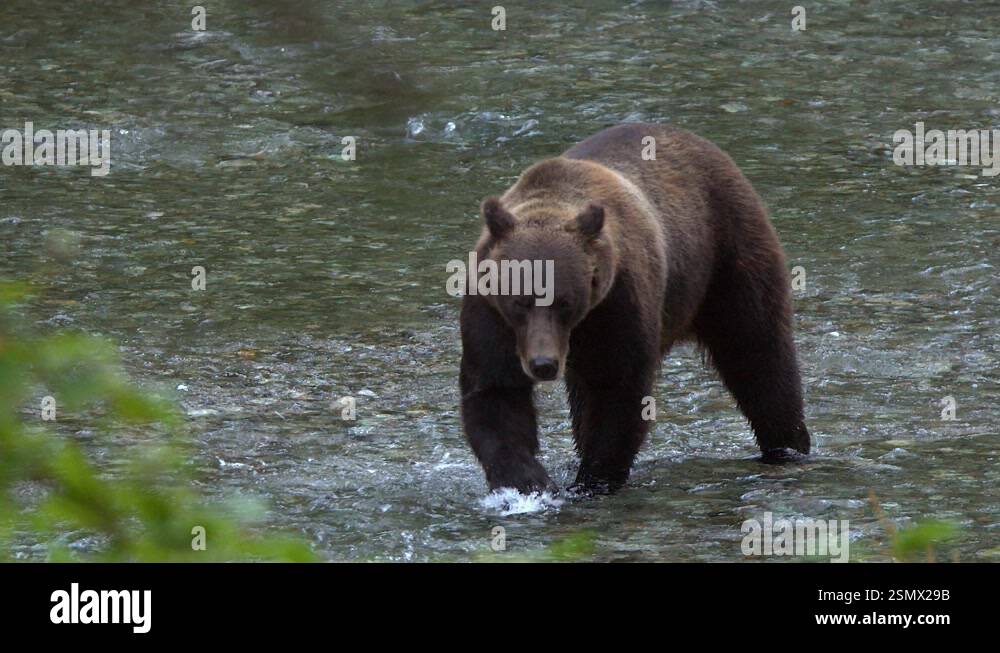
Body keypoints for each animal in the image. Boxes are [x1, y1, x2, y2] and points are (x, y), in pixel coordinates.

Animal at [459, 123, 810, 494]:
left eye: (565, 302)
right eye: (520, 301)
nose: (544, 364)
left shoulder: (618, 304)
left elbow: (620, 391)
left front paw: (594, 479)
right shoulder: (491, 314)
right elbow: (496, 390)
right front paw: (528, 480)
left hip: (728, 259)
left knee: (759, 354)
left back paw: (787, 447)